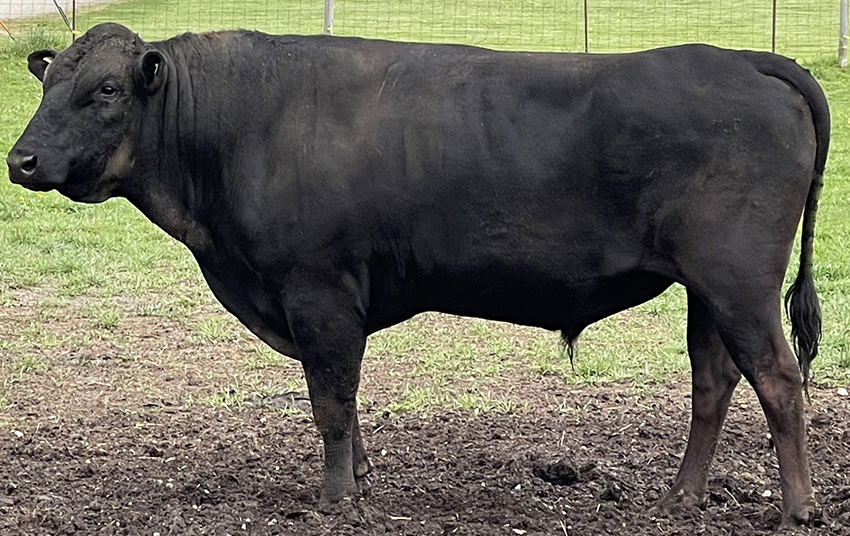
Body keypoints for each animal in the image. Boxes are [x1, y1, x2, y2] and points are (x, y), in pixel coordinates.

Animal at [6, 23, 829, 526]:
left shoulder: (318, 289)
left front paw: (337, 499)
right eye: (47, 86)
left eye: (105, 90)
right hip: (707, 289)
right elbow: (339, 397)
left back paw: (796, 507)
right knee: (714, 382)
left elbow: (331, 400)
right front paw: (361, 477)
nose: (22, 159)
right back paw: (683, 496)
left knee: (778, 379)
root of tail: (745, 58)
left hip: (738, 280)